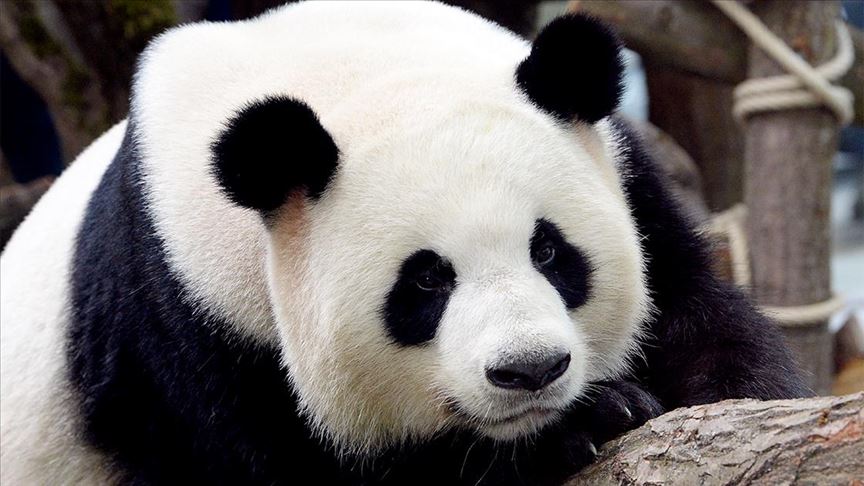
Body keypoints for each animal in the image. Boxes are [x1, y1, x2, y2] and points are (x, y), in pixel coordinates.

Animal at [0, 2, 808, 485]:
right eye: (425, 281)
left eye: (550, 252)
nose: (530, 370)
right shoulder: (183, 322)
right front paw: (583, 423)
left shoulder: (629, 181)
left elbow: (702, 317)